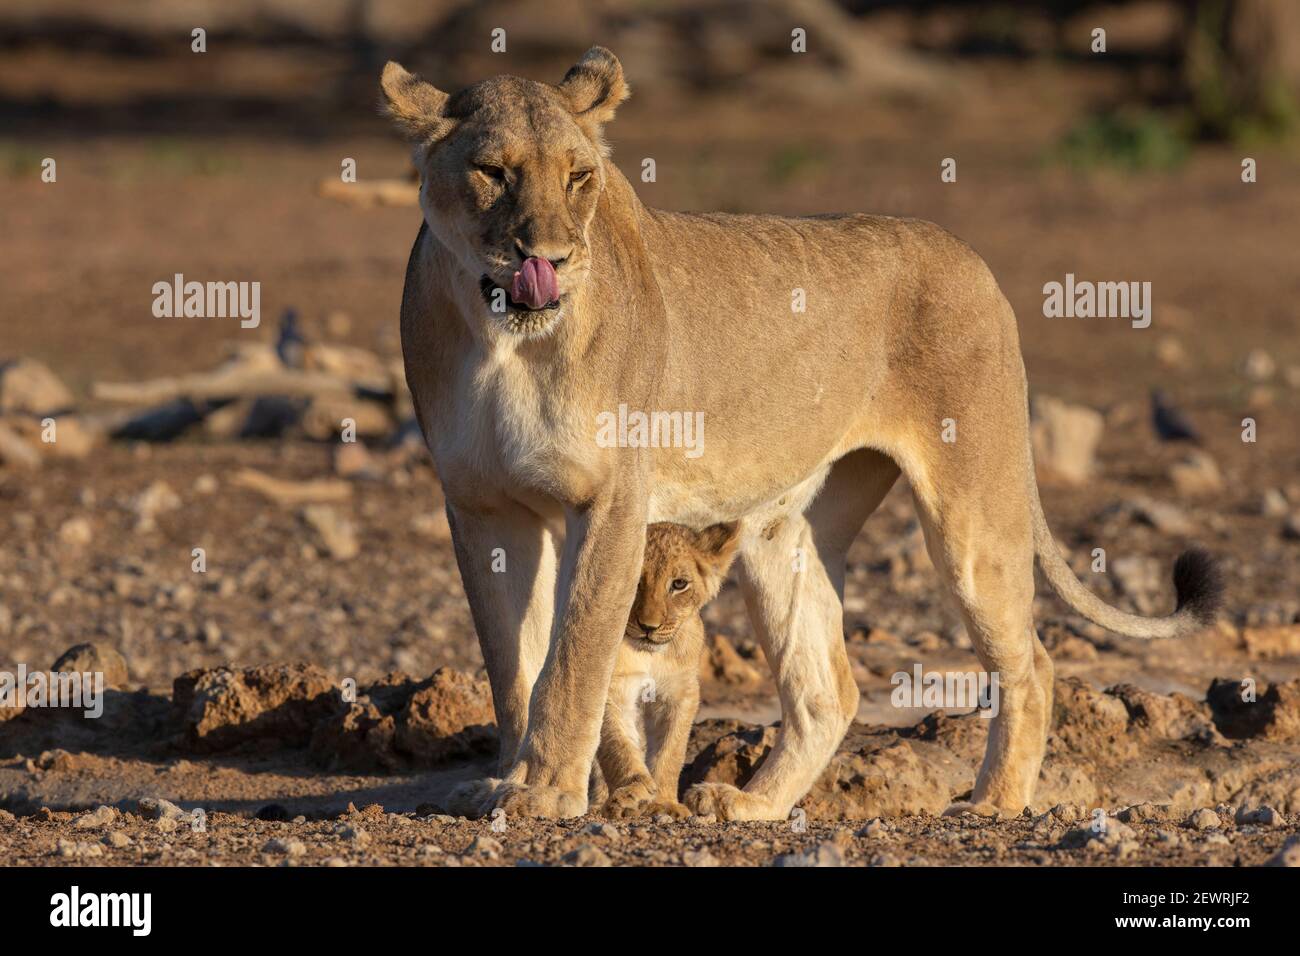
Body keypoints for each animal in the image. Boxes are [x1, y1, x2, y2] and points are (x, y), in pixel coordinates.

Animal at [597, 521, 740, 820]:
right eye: (635, 582)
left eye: (679, 584)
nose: (648, 627)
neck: (652, 655)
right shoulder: (612, 688)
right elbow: (618, 745)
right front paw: (632, 791)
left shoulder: (679, 692)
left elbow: (669, 751)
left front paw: (663, 803)